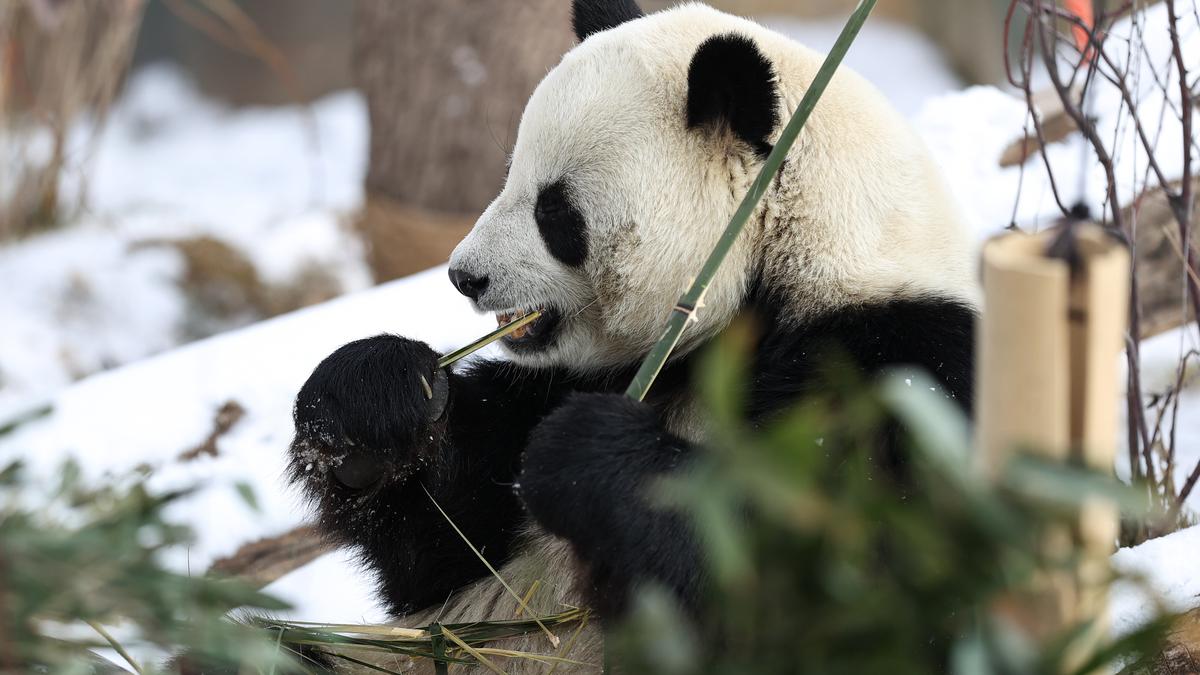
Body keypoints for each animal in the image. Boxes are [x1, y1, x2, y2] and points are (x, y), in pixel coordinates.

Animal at [287, 0, 977, 672]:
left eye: (555, 210)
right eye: (508, 175)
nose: (464, 277)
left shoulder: (896, 364)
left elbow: (848, 582)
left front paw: (589, 453)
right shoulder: (558, 386)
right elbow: (445, 550)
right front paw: (378, 395)